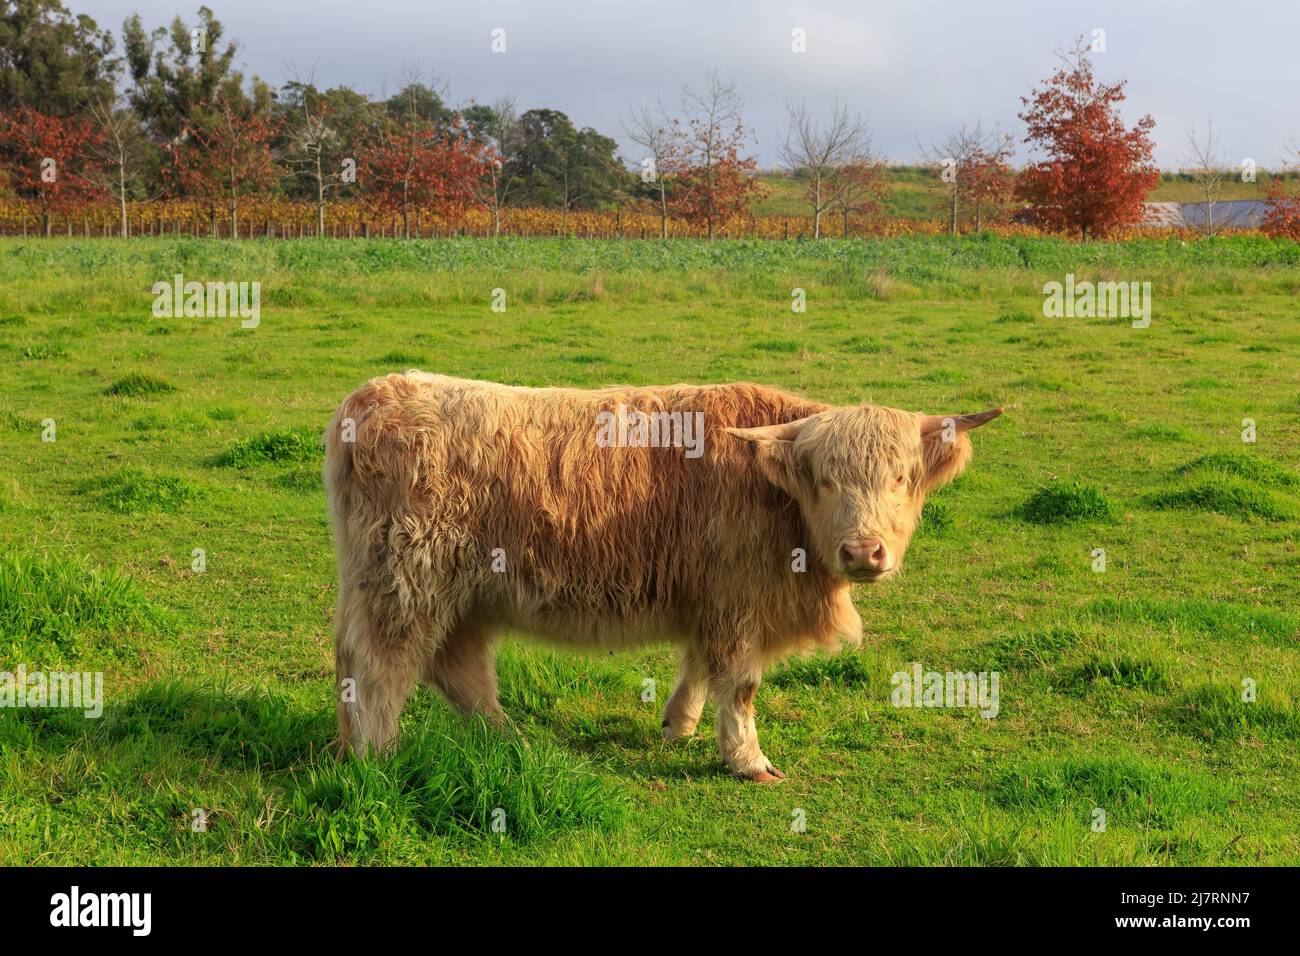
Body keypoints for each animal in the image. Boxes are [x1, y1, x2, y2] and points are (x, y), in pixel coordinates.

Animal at [324, 372, 1001, 781]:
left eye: (900, 477)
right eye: (826, 479)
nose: (863, 552)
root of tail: (372, 395)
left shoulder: (714, 599)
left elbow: (701, 664)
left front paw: (679, 725)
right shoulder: (737, 599)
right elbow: (740, 683)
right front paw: (748, 761)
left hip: (457, 594)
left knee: (452, 666)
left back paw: (508, 740)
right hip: (405, 584)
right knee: (380, 667)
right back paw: (378, 758)